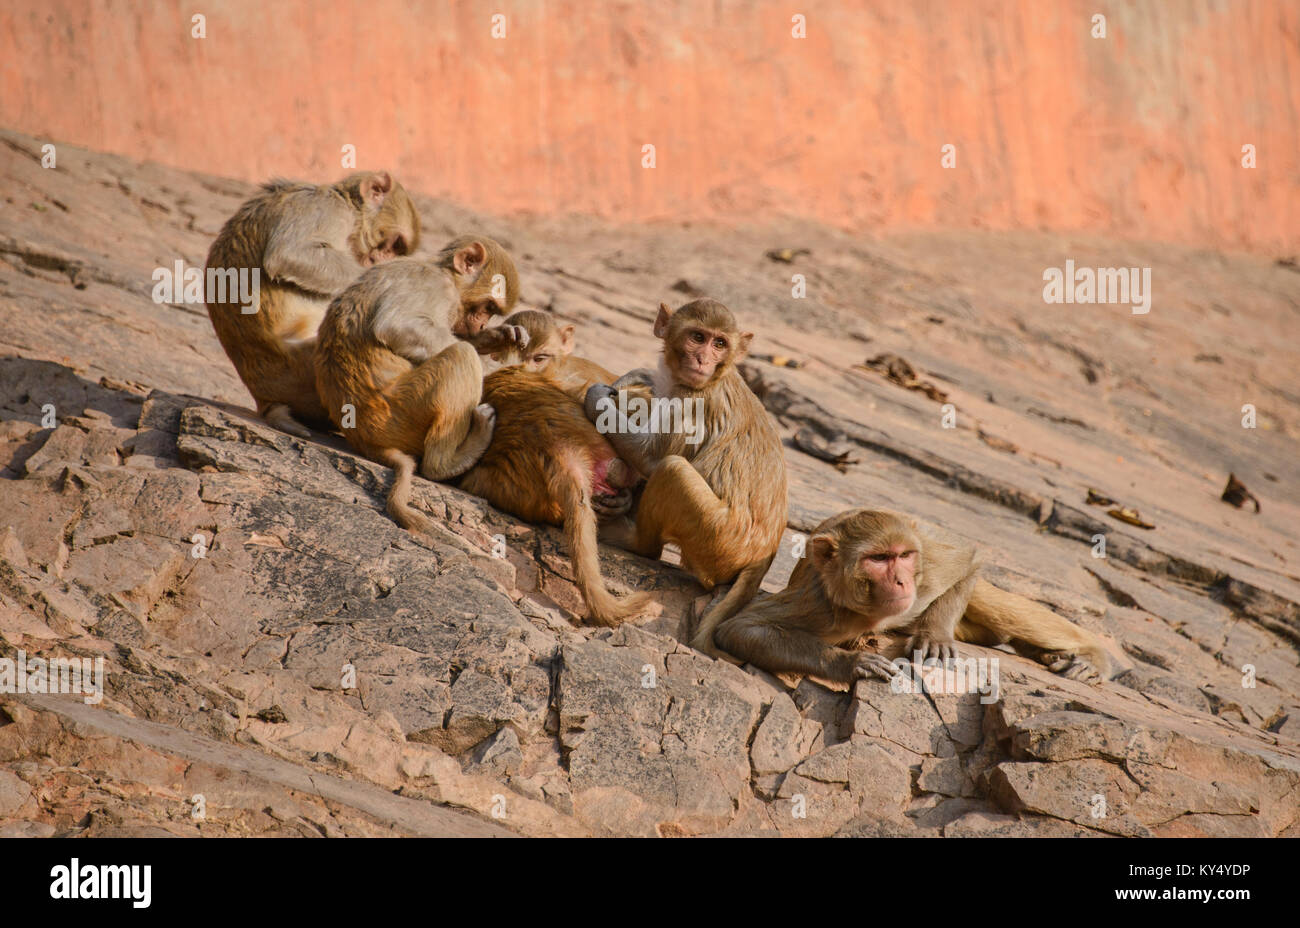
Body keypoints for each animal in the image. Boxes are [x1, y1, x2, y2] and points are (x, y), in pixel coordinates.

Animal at [206, 171, 420, 438]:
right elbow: (290, 255)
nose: (382, 258)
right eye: (394, 244)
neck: (345, 201)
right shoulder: (328, 209)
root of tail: (263, 399)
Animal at [314, 234, 523, 534]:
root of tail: (362, 437)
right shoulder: (434, 286)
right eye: (488, 307)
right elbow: (397, 327)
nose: (483, 324)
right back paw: (447, 463)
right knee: (461, 355)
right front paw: (494, 365)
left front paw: (496, 338)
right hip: (401, 411)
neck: (447, 276)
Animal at [584, 298, 787, 653]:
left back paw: (634, 541)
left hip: (717, 538)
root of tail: (763, 557)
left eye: (720, 344)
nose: (703, 359)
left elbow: (651, 458)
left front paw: (596, 399)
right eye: (698, 337)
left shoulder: (690, 403)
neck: (710, 379)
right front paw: (639, 376)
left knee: (672, 469)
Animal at [712, 509, 1112, 685]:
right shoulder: (818, 606)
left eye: (903, 555)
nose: (903, 582)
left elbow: (969, 560)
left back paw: (1090, 656)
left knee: (997, 608)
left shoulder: (929, 567)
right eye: (878, 559)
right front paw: (851, 663)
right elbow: (740, 630)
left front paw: (934, 636)